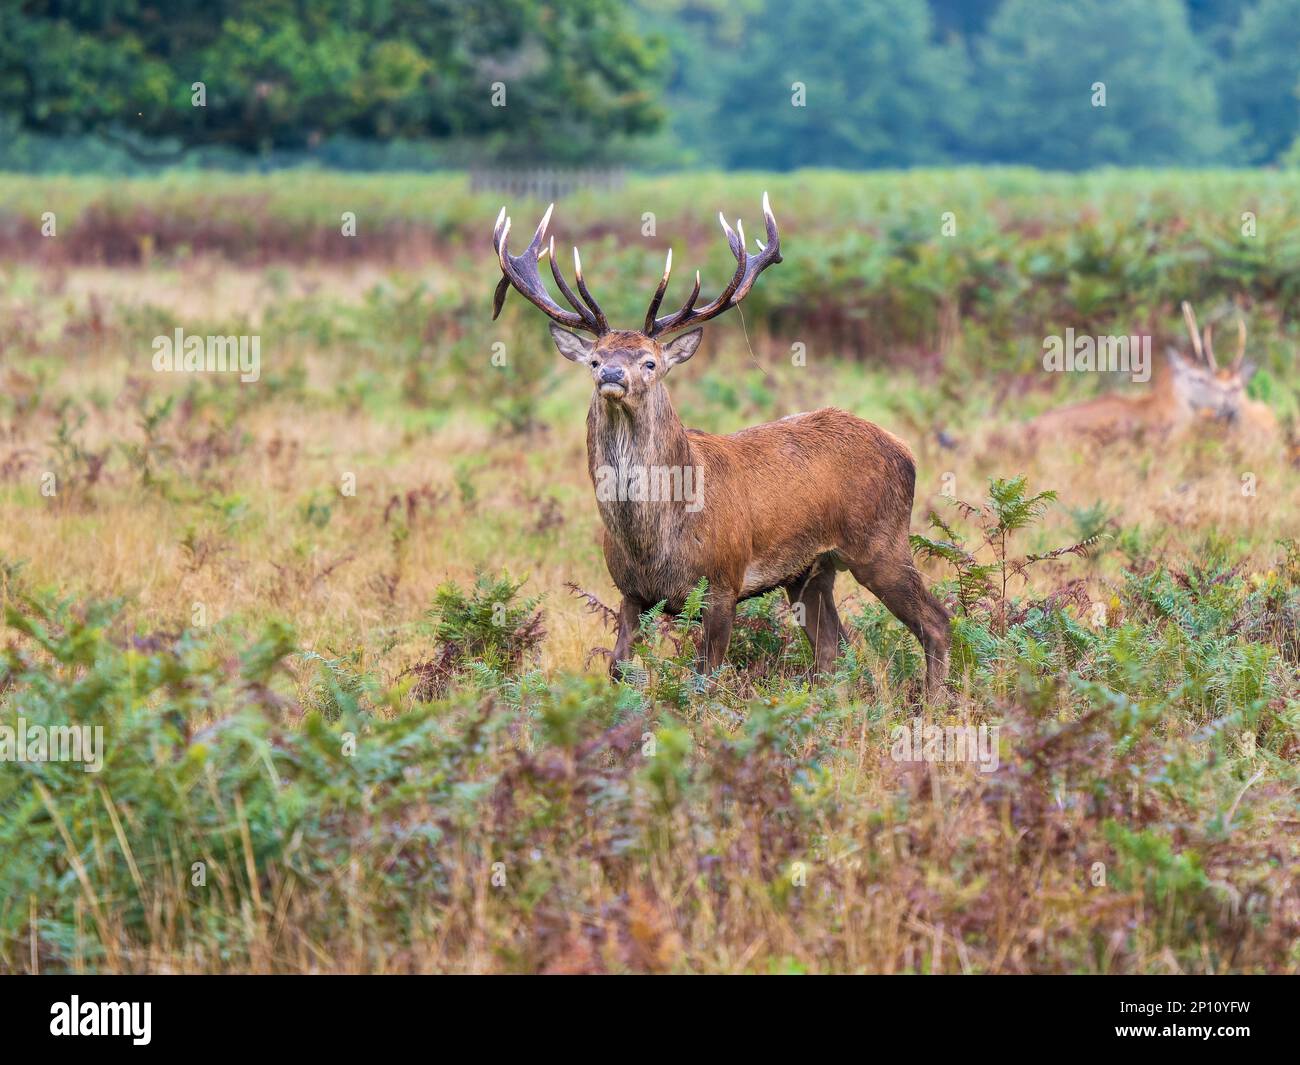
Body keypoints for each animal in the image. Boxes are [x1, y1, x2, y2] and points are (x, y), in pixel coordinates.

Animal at [491, 194, 952, 697]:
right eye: (594, 359)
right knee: (834, 644)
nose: (612, 374)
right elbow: (617, 669)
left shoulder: (722, 583)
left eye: (650, 362)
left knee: (936, 621)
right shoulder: (630, 592)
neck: (654, 540)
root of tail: (905, 450)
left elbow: (705, 680)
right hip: (810, 570)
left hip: (881, 542)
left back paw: (933, 703)